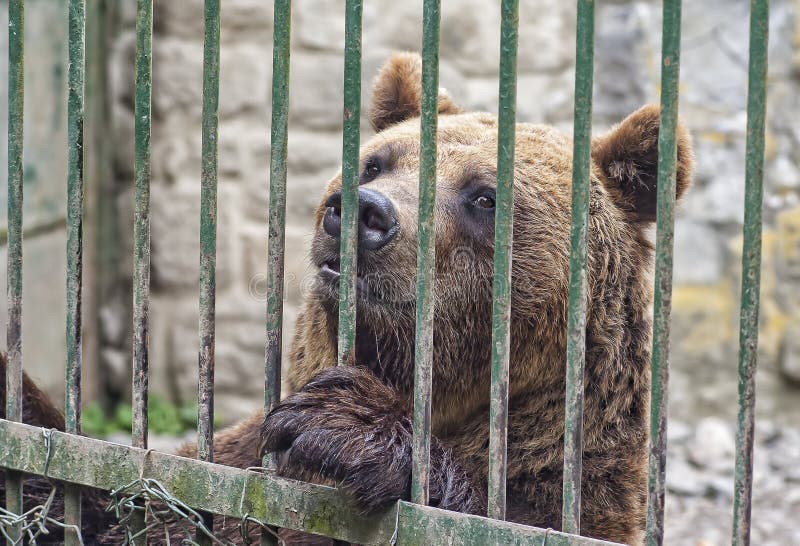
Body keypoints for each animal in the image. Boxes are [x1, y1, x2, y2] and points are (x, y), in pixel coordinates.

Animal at [1, 52, 692, 545]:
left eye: (484, 196)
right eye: (376, 164)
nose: (361, 212)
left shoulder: (563, 500)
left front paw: (345, 423)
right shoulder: (223, 483)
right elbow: (96, 505)